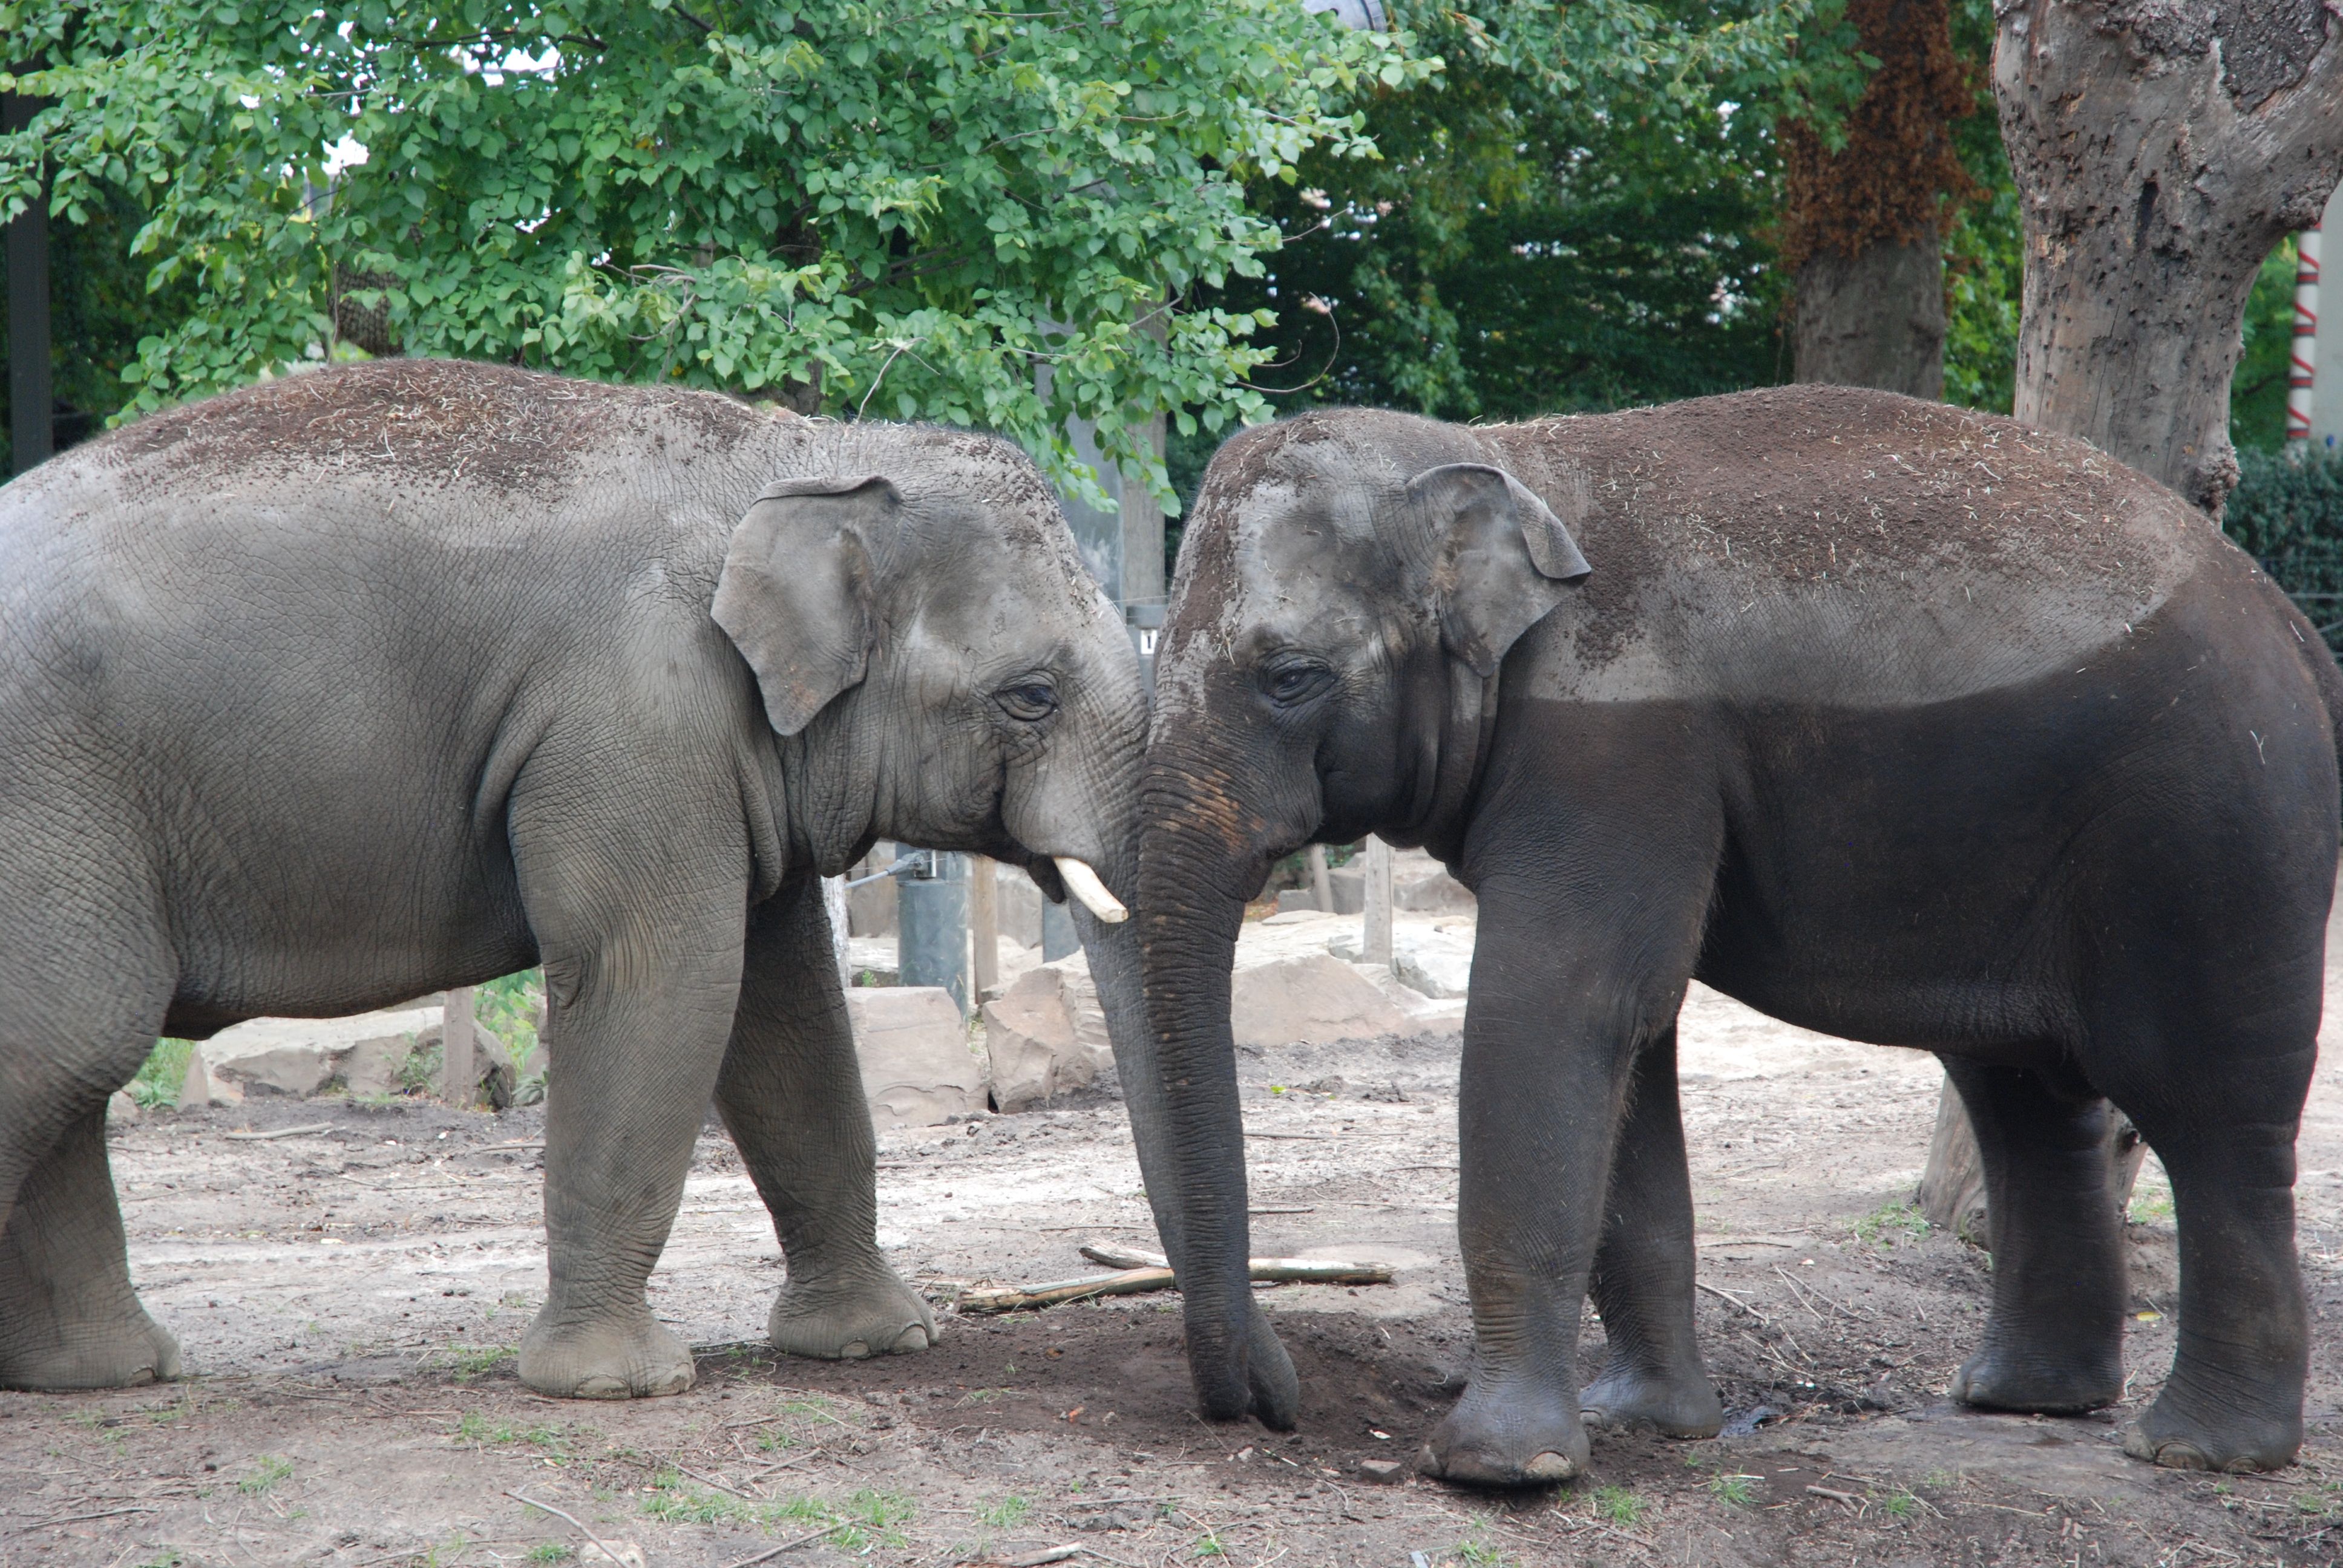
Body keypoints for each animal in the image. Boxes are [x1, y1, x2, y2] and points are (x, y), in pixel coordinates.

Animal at [0, 356, 1175, 1402]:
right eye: (1031, 696)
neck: (805, 454)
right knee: (78, 1040)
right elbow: (663, 979)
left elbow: (784, 1002)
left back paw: (105, 1375)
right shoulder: (638, 711)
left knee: (71, 1061)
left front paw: (876, 1343)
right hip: (52, 796)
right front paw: (619, 1386)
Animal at [1135, 386, 2343, 1484]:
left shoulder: (1616, 742)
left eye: (1289, 678)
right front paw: (1643, 1421)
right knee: (2023, 1094)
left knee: (2207, 1105)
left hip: (2213, 828)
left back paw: (2200, 1450)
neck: (1503, 458)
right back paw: (2024, 1401)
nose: (1276, 1402)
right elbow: (1634, 1036)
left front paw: (1496, 1470)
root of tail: (2292, 626)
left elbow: (1560, 1001)